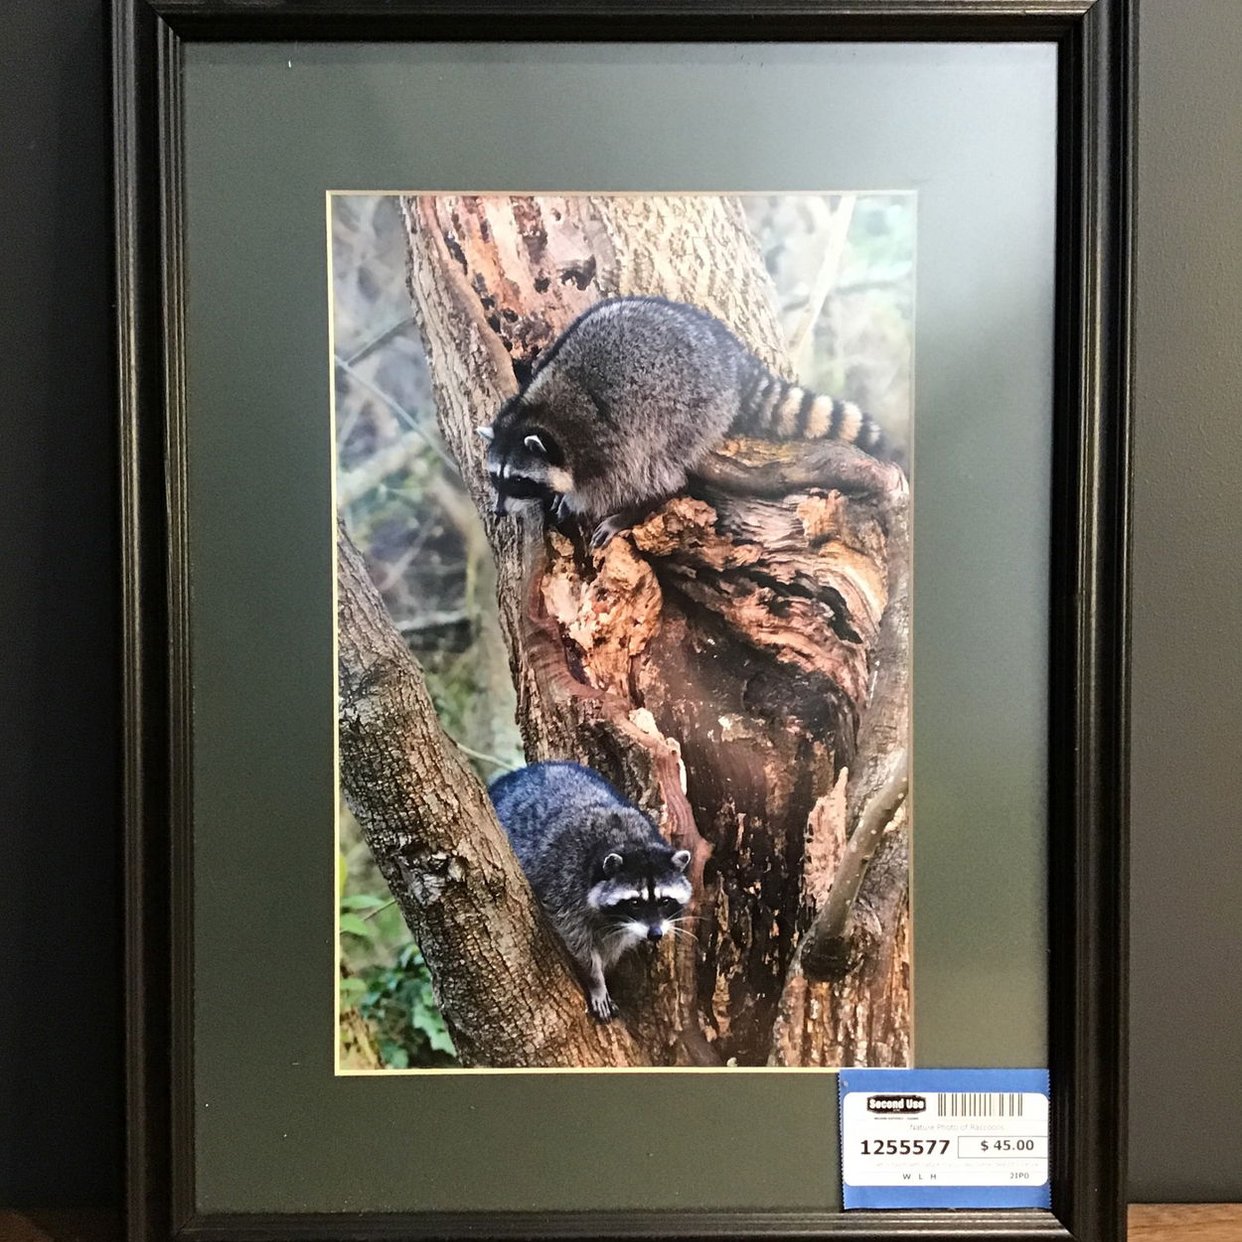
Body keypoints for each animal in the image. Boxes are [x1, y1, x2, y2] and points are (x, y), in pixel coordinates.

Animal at [476, 295, 888, 546]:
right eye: (496, 477)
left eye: (518, 480)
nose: (498, 511)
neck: (535, 416)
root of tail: (728, 355)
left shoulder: (604, 444)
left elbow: (617, 483)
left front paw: (598, 505)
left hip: (688, 409)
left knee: (663, 466)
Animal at [488, 760, 692, 1021]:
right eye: (635, 903)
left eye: (665, 901)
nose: (655, 934)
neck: (631, 843)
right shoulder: (564, 885)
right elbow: (576, 939)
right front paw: (596, 979)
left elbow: (613, 942)